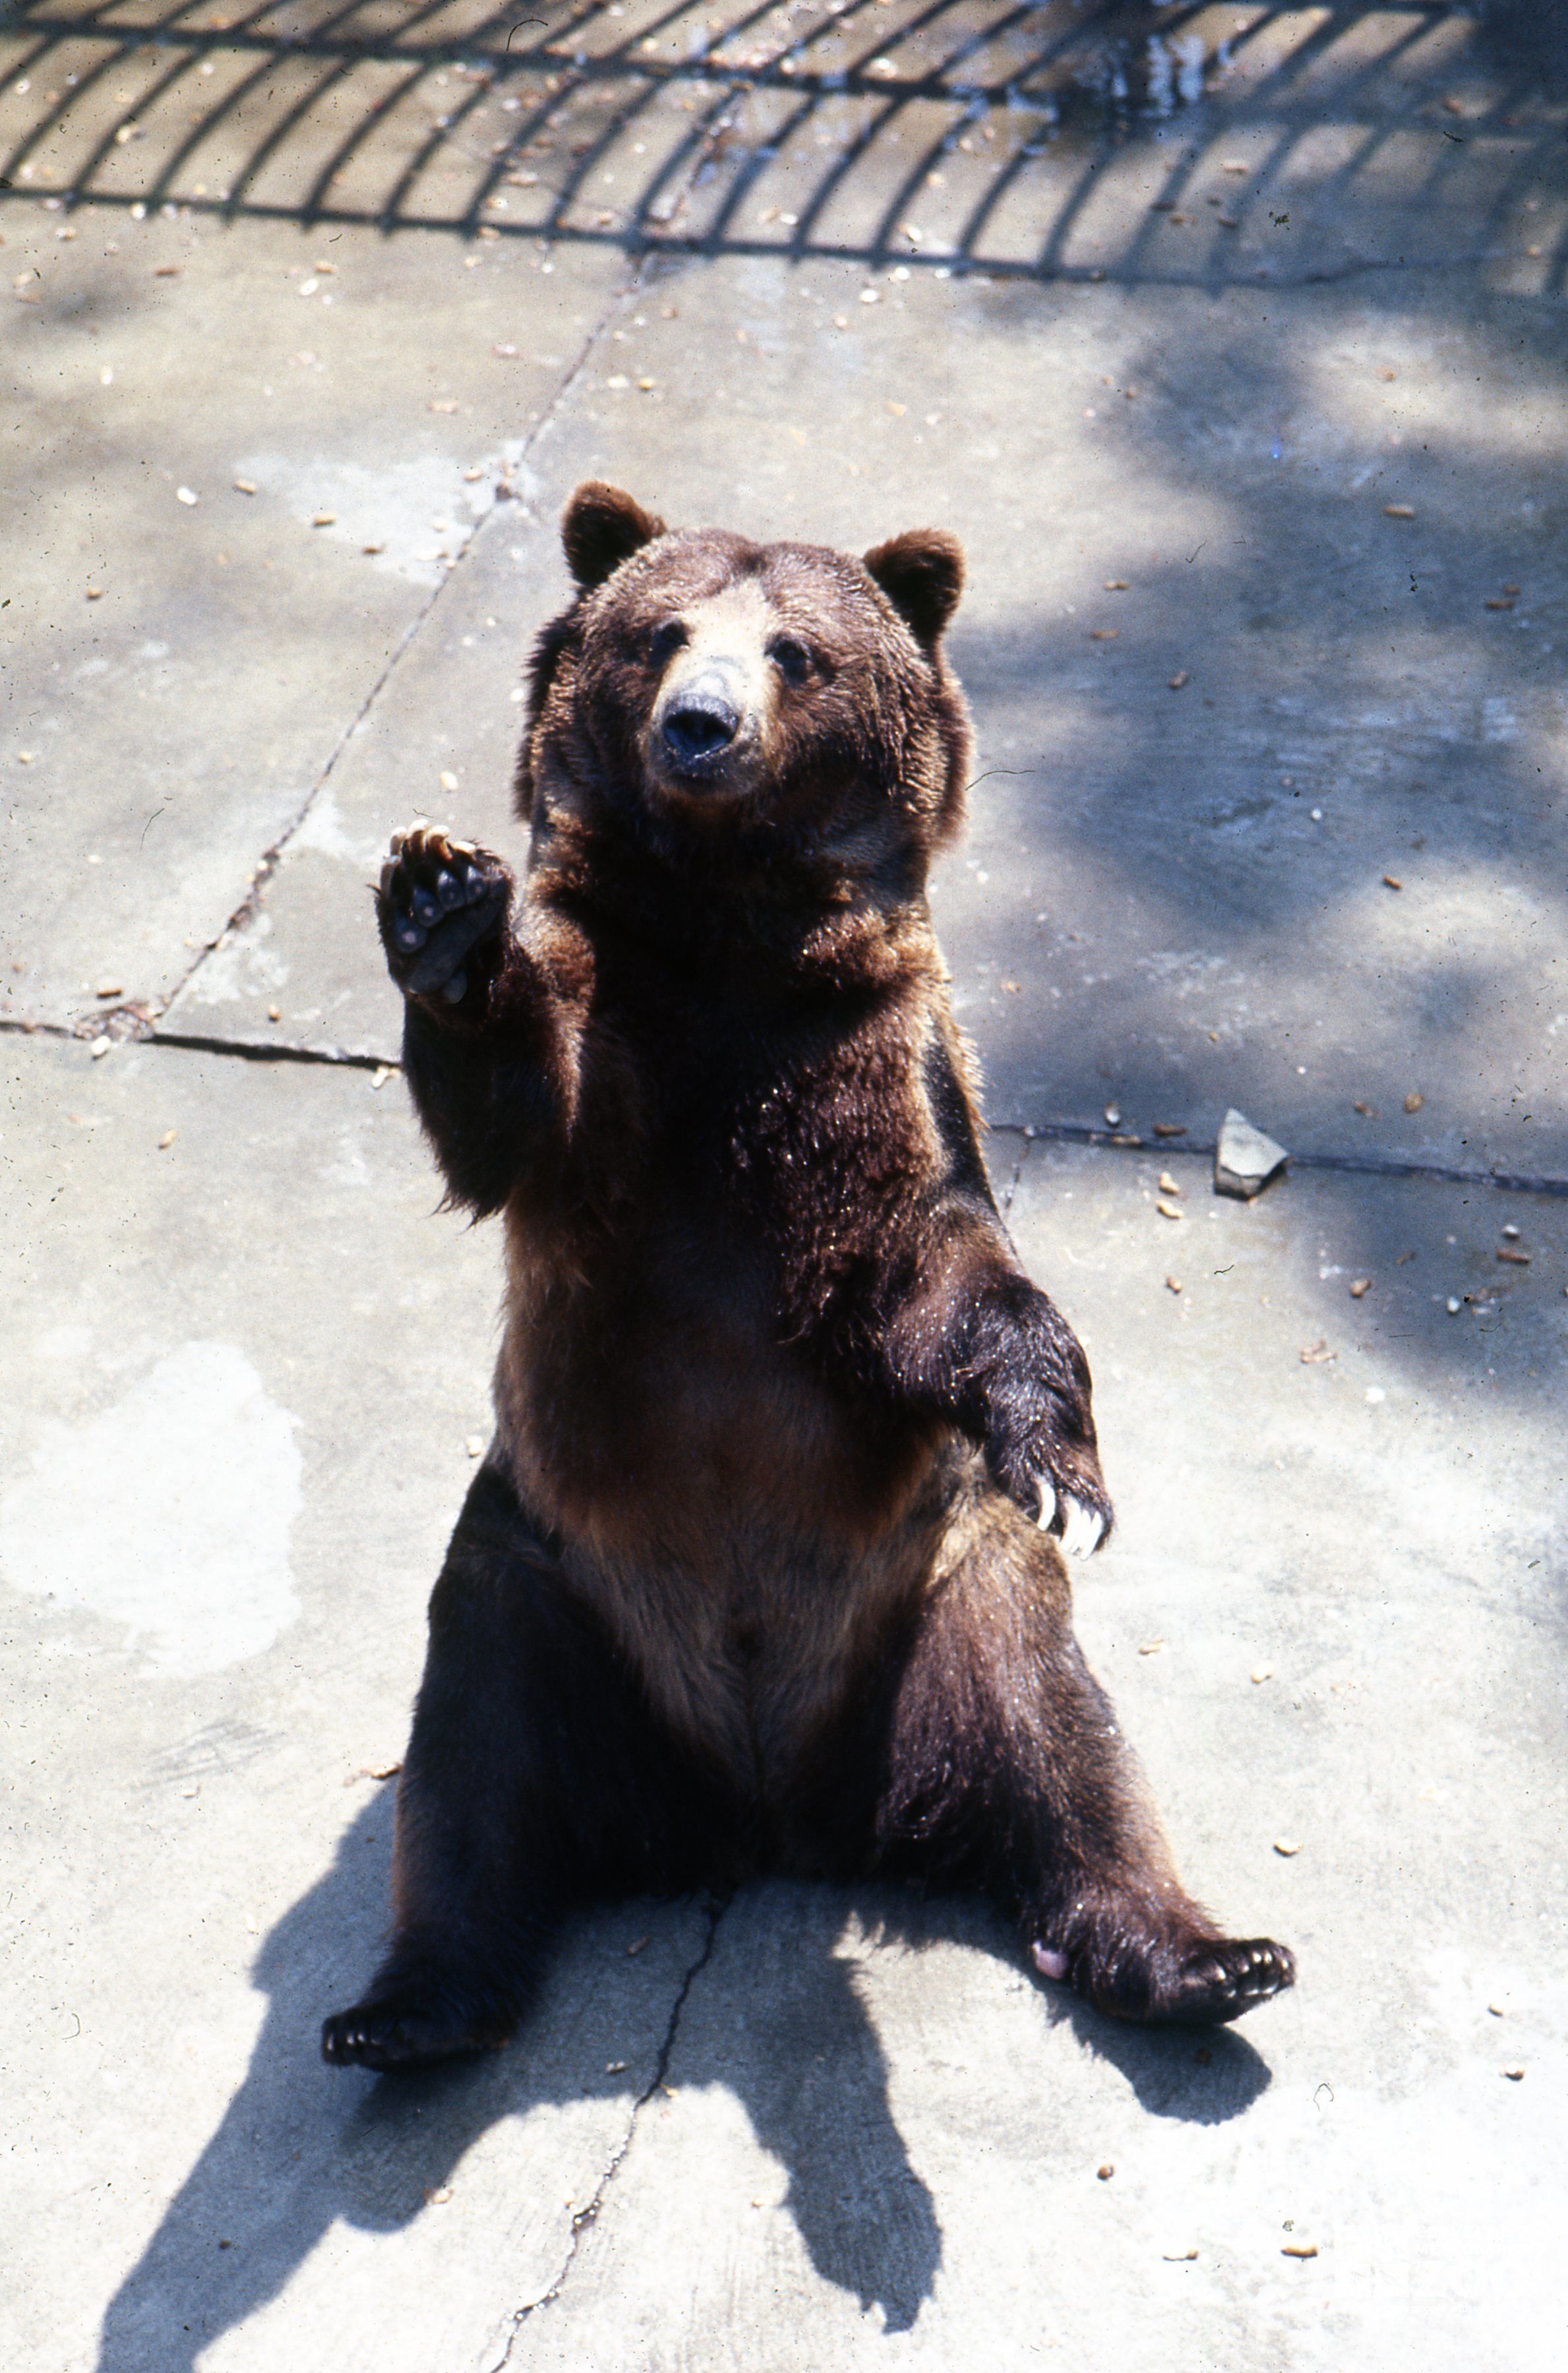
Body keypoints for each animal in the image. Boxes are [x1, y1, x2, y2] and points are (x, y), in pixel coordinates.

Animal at [320, 483, 1294, 2072]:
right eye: (660, 631)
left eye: (795, 649)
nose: (699, 723)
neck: (725, 934)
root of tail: (759, 1806)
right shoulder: (621, 1054)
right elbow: (512, 1112)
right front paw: (440, 901)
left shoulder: (867, 1059)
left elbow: (941, 1275)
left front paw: (1065, 1465)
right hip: (542, 1575)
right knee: (467, 1771)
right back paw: (402, 2006)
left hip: (931, 1600)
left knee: (1063, 1732)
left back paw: (1208, 1953)